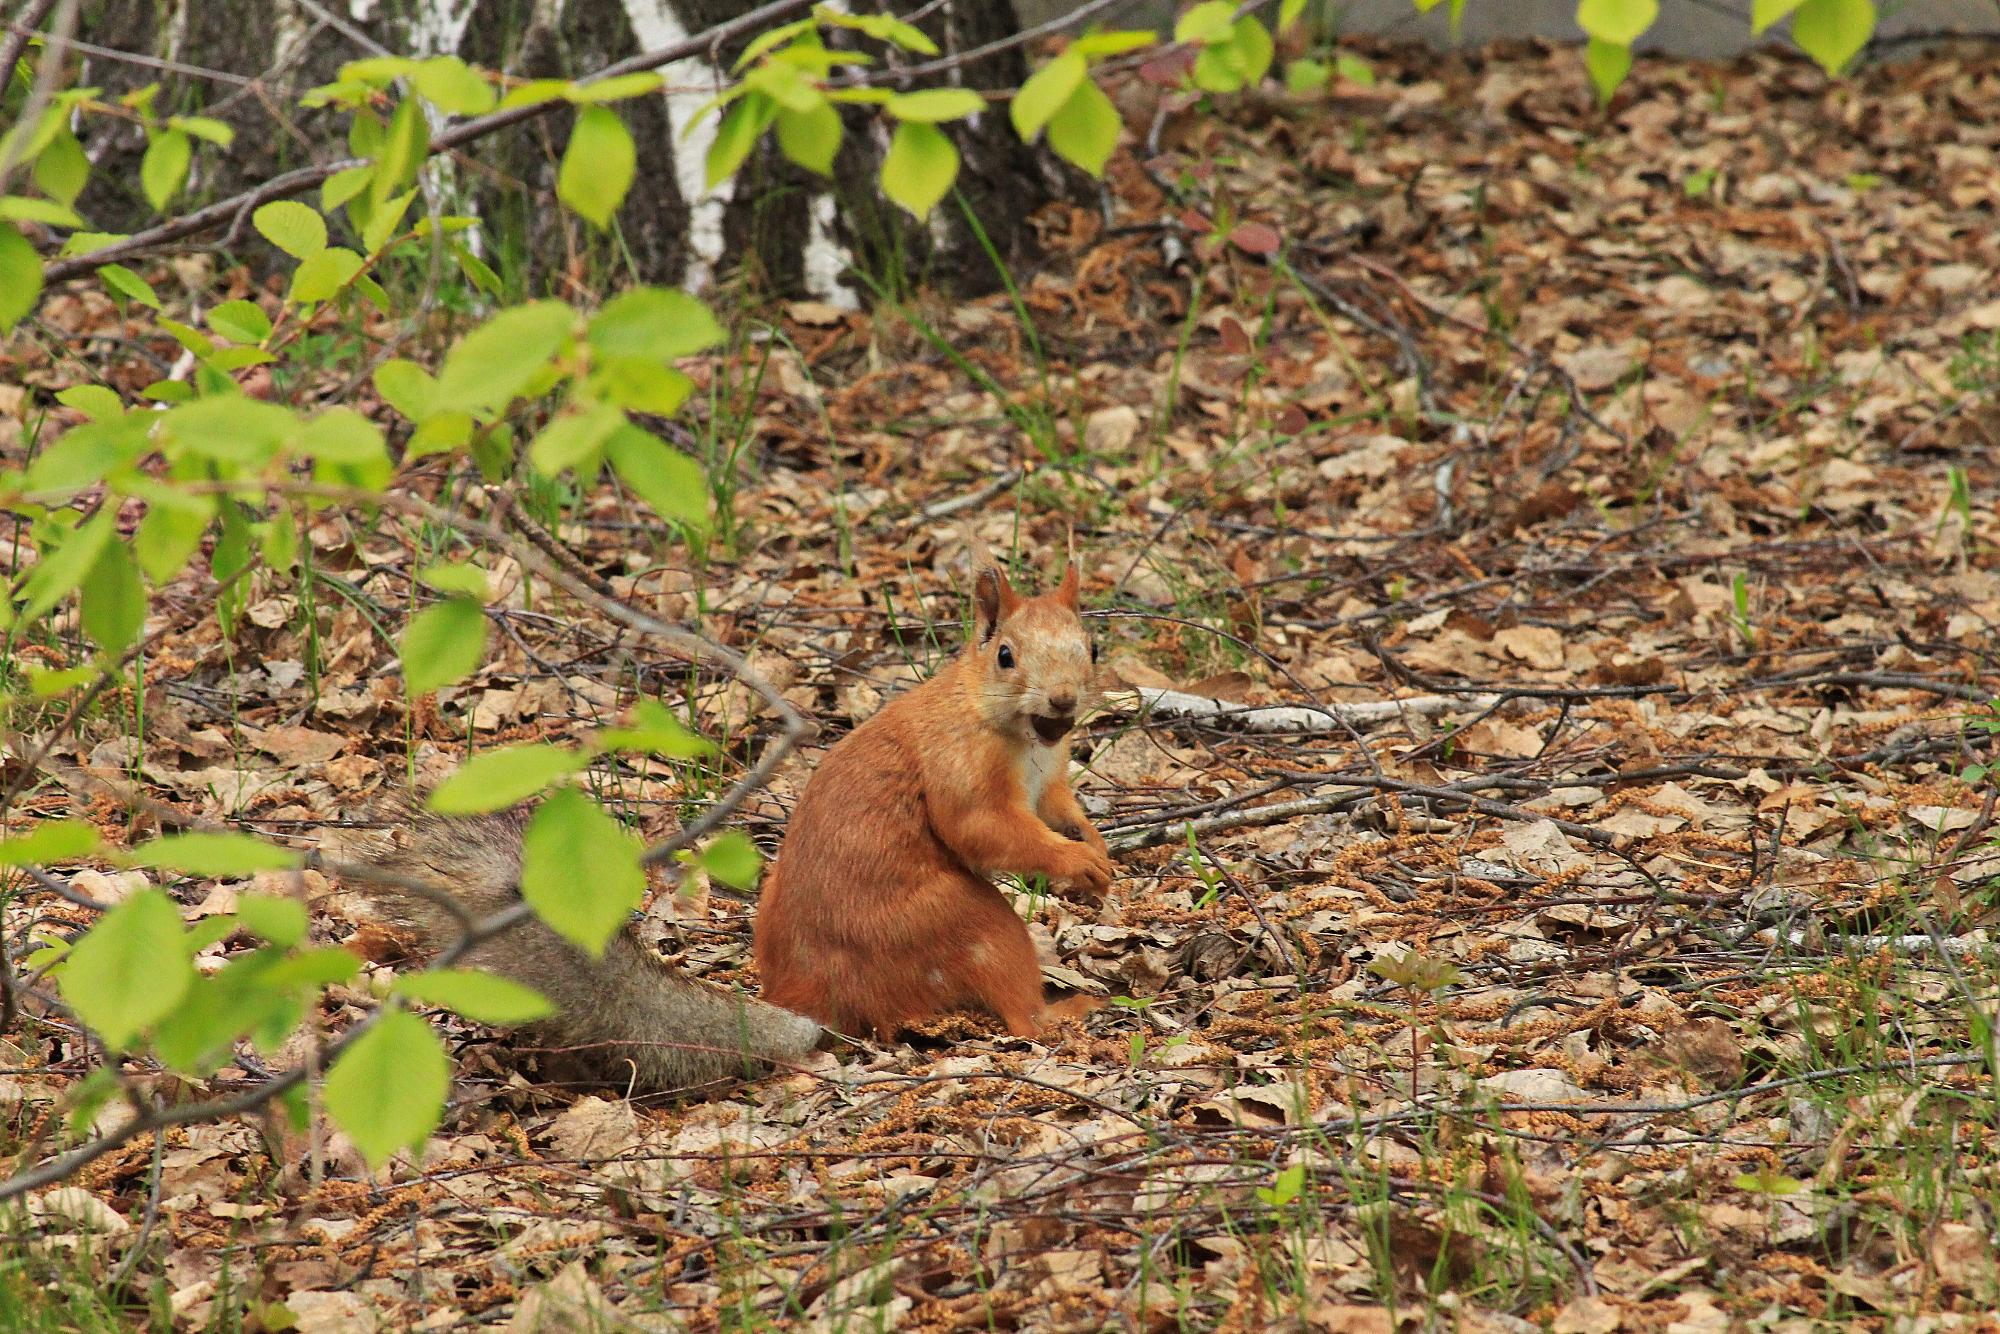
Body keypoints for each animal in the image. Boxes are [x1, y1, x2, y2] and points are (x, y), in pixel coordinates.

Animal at [753, 559, 1114, 1040]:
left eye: (1093, 649)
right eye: (1005, 656)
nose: (1062, 699)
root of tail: (816, 991)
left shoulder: (1049, 782)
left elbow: (1059, 812)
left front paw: (1094, 846)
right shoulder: (960, 767)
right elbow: (983, 829)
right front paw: (1077, 861)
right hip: (955, 923)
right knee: (1023, 1017)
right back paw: (1066, 1010)